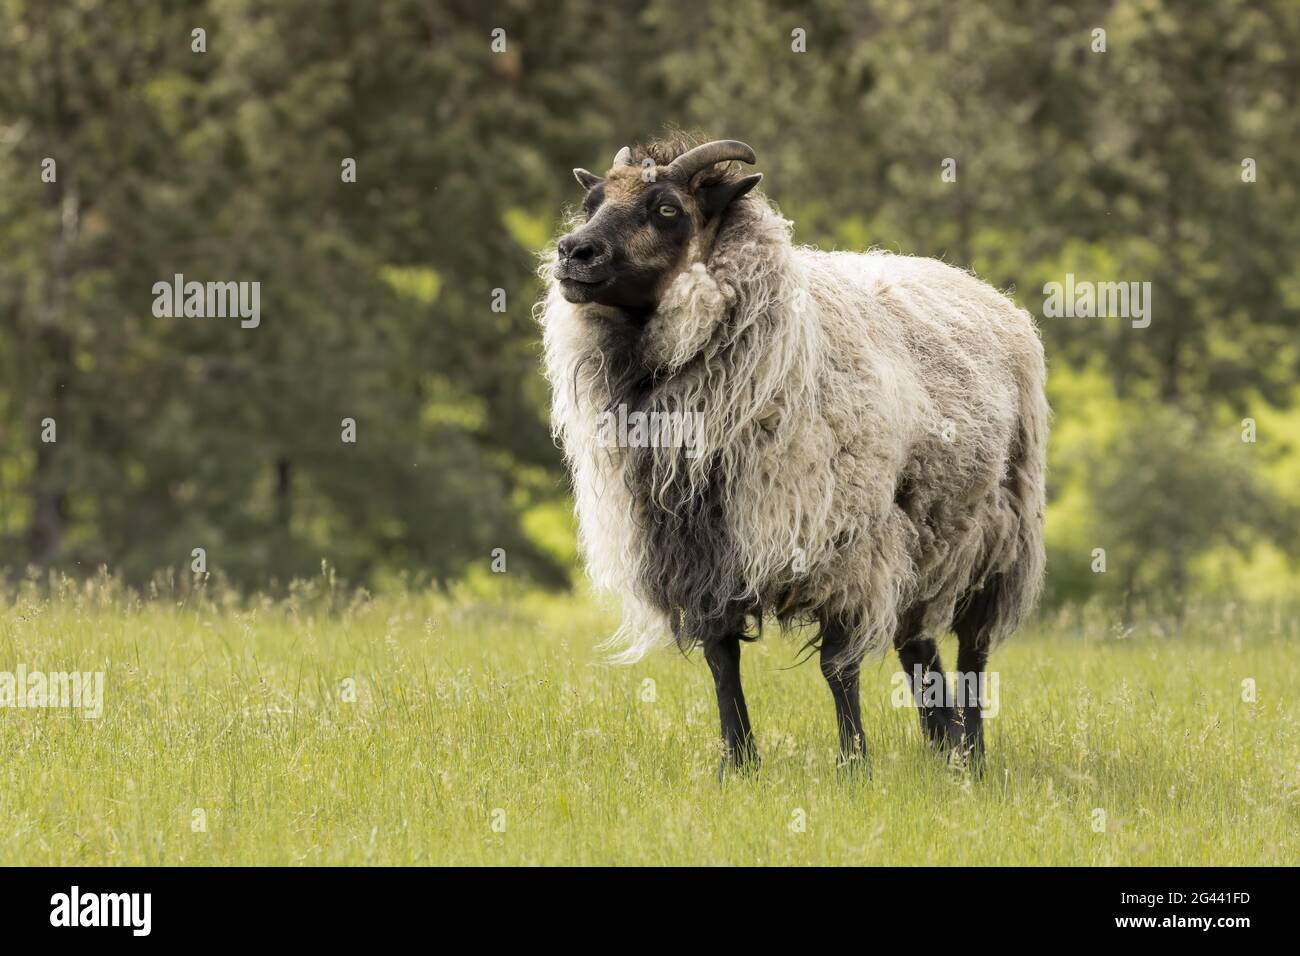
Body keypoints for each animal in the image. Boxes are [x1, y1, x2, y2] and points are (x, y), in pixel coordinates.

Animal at [537, 135, 1048, 772]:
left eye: (666, 210)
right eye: (591, 202)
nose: (573, 253)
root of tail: (981, 287)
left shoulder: (846, 546)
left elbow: (838, 666)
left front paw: (854, 765)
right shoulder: (703, 550)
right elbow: (721, 659)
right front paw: (738, 763)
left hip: (997, 535)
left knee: (973, 650)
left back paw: (971, 755)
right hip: (921, 534)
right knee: (919, 648)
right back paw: (941, 749)